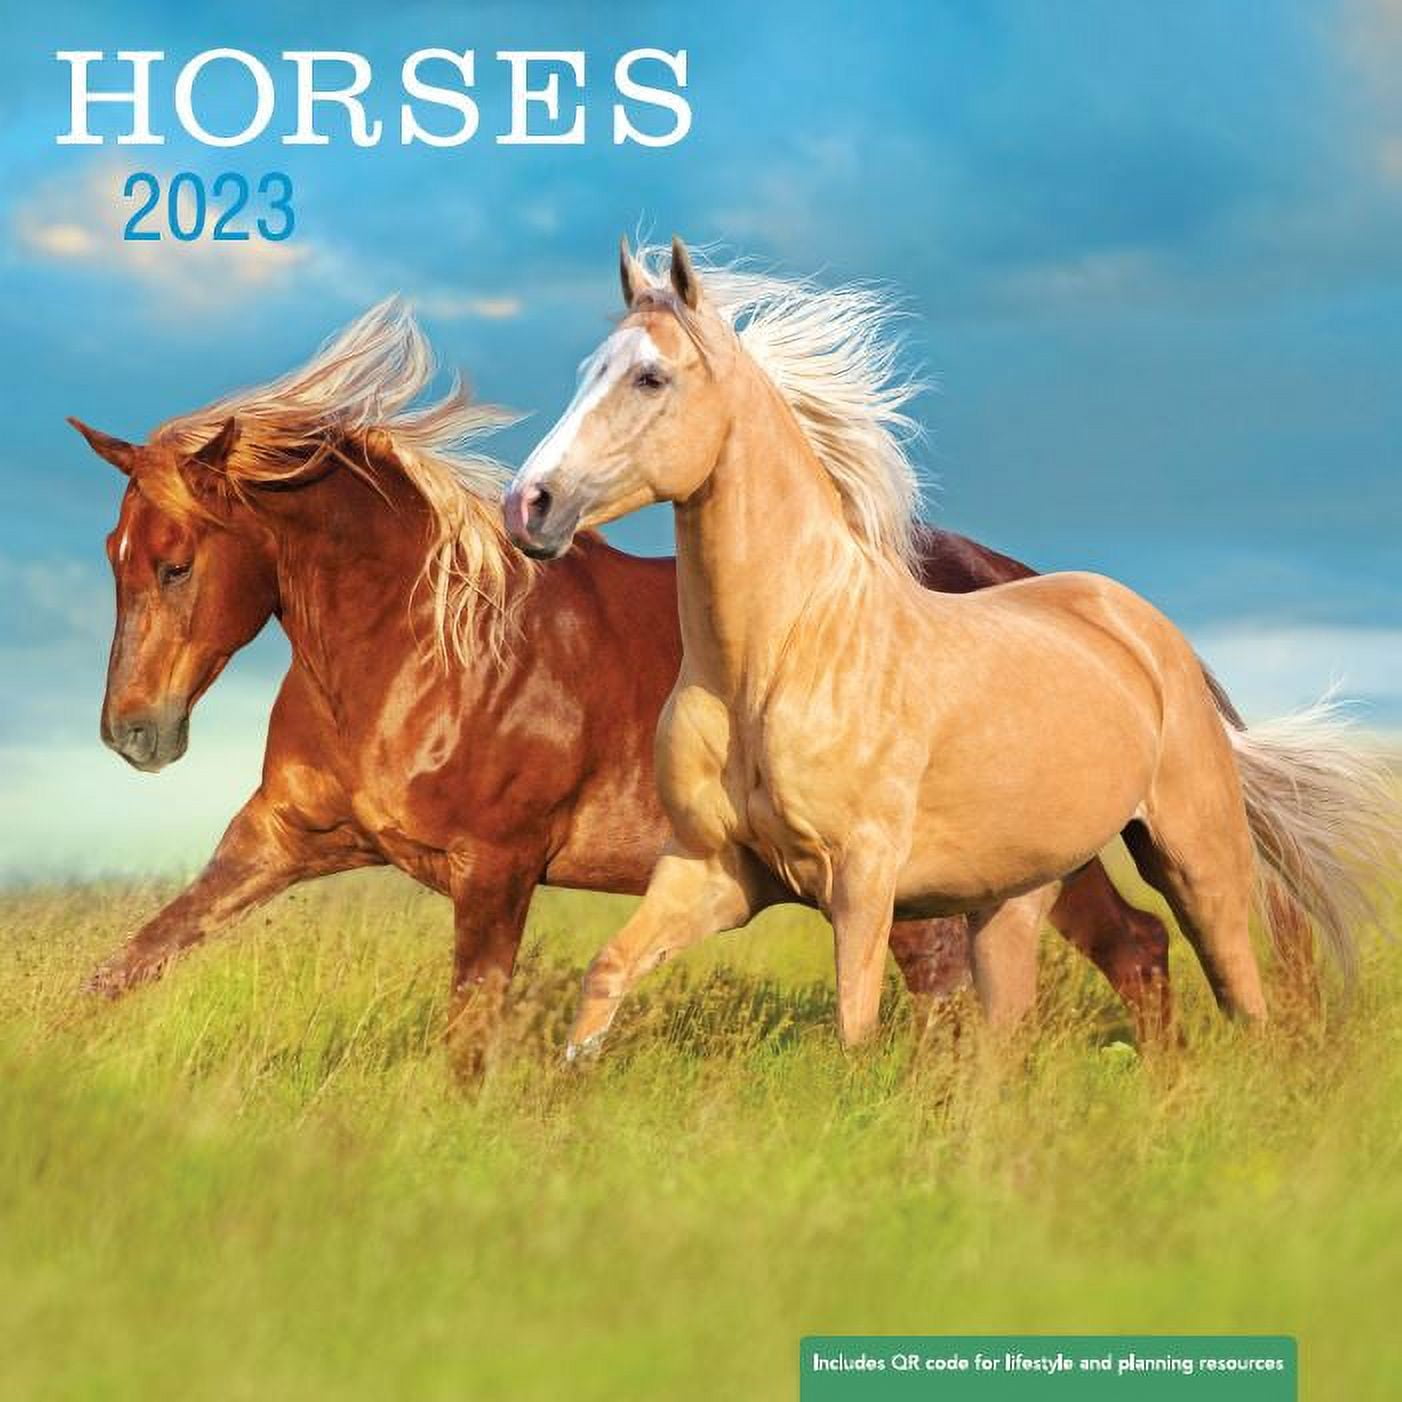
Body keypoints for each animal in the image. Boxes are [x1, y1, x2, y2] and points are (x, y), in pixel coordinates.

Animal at [67, 301, 1175, 1037]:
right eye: (114, 555)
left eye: (176, 563)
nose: (132, 734)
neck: (419, 654)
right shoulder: (278, 840)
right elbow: (126, 965)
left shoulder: (497, 870)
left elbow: (469, 1039)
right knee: (1136, 947)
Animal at [502, 237, 1399, 1057]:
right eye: (587, 370)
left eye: (650, 378)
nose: (528, 506)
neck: (777, 660)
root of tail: (1150, 632)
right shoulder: (714, 870)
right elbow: (607, 975)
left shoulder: (861, 881)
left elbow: (854, 1026)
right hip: (1016, 893)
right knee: (1016, 1027)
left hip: (1194, 856)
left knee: (1240, 992)